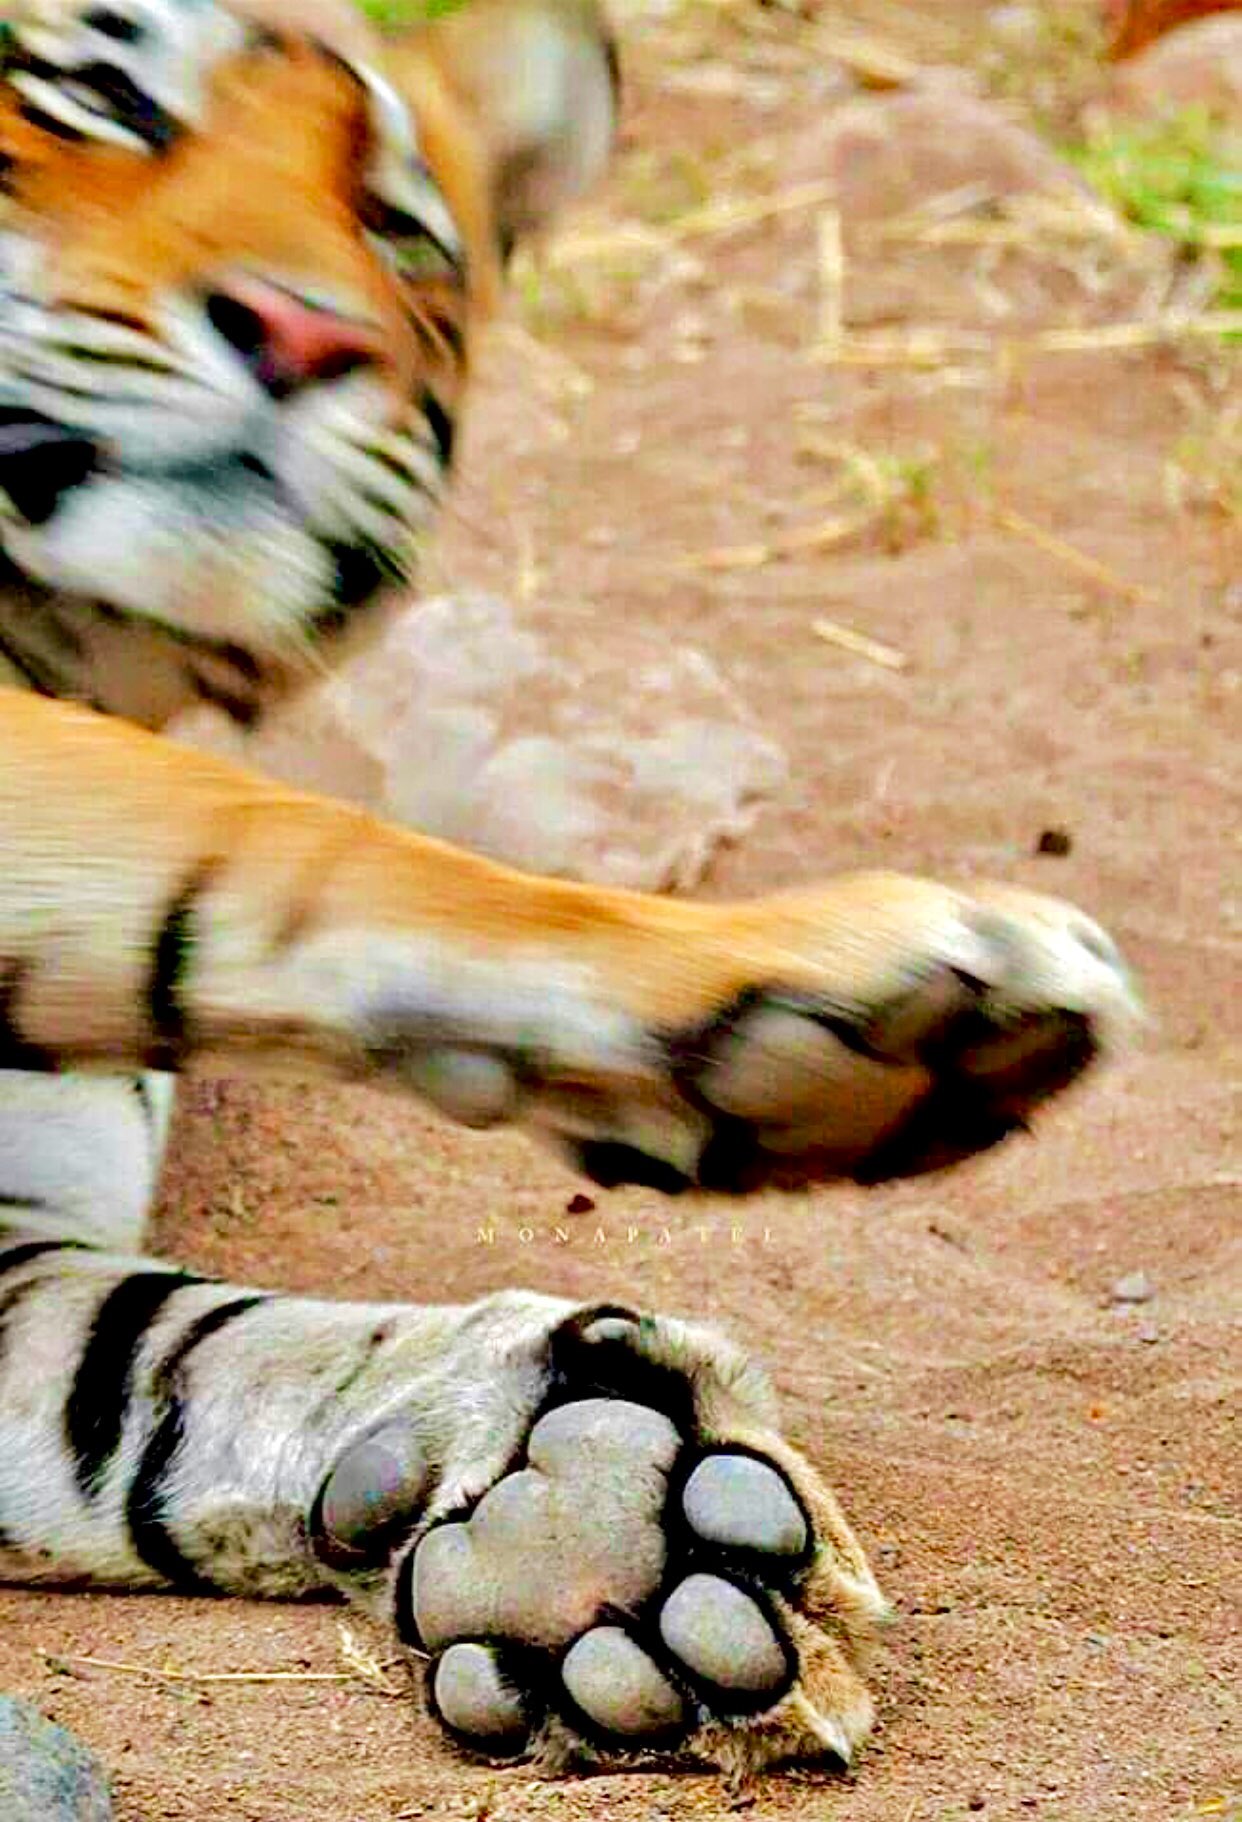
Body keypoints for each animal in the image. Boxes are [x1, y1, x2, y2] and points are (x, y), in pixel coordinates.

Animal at [0, 0, 1142, 1795]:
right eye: (99, 102)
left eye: (398, 233)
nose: (308, 333)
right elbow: (287, 840)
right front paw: (840, 995)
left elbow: (153, 1371)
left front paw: (595, 1524)